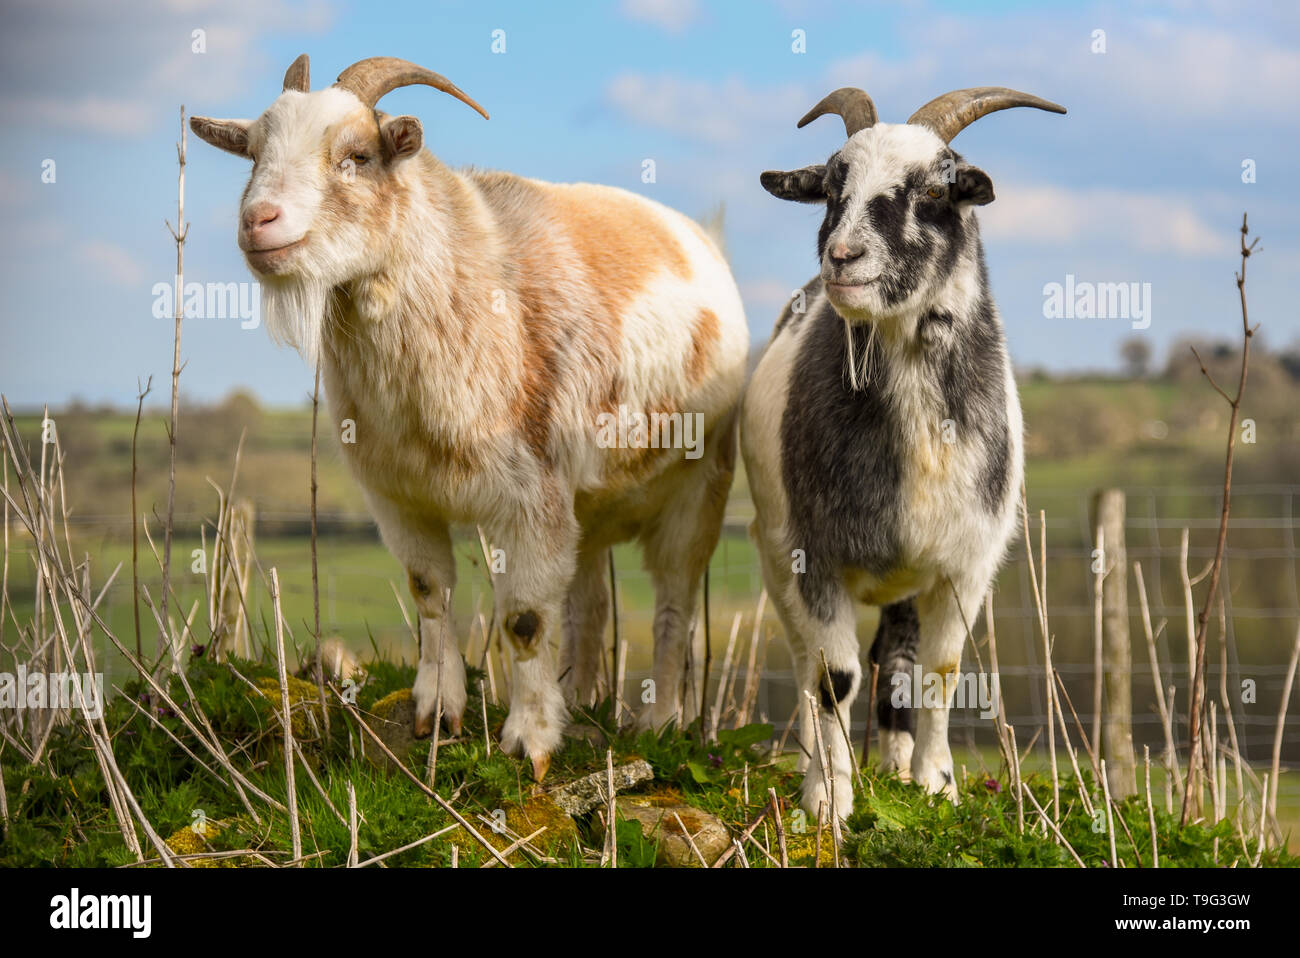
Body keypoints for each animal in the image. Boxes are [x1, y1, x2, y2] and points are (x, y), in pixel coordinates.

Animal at [191, 55, 748, 779]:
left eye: (358, 156)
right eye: (254, 152)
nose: (259, 221)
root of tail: (703, 239)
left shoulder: (531, 496)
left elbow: (525, 620)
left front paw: (530, 743)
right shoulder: (399, 496)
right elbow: (430, 591)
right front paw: (438, 710)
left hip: (699, 486)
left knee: (674, 603)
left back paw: (659, 723)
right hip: (589, 509)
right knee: (590, 604)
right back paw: (584, 699)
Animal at [741, 86, 1064, 819]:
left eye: (937, 188)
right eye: (832, 188)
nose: (843, 256)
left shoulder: (963, 565)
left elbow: (941, 673)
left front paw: (935, 783)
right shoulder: (812, 554)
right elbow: (832, 677)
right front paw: (829, 798)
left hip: (907, 580)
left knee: (897, 659)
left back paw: (893, 764)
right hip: (774, 555)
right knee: (808, 664)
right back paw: (819, 762)